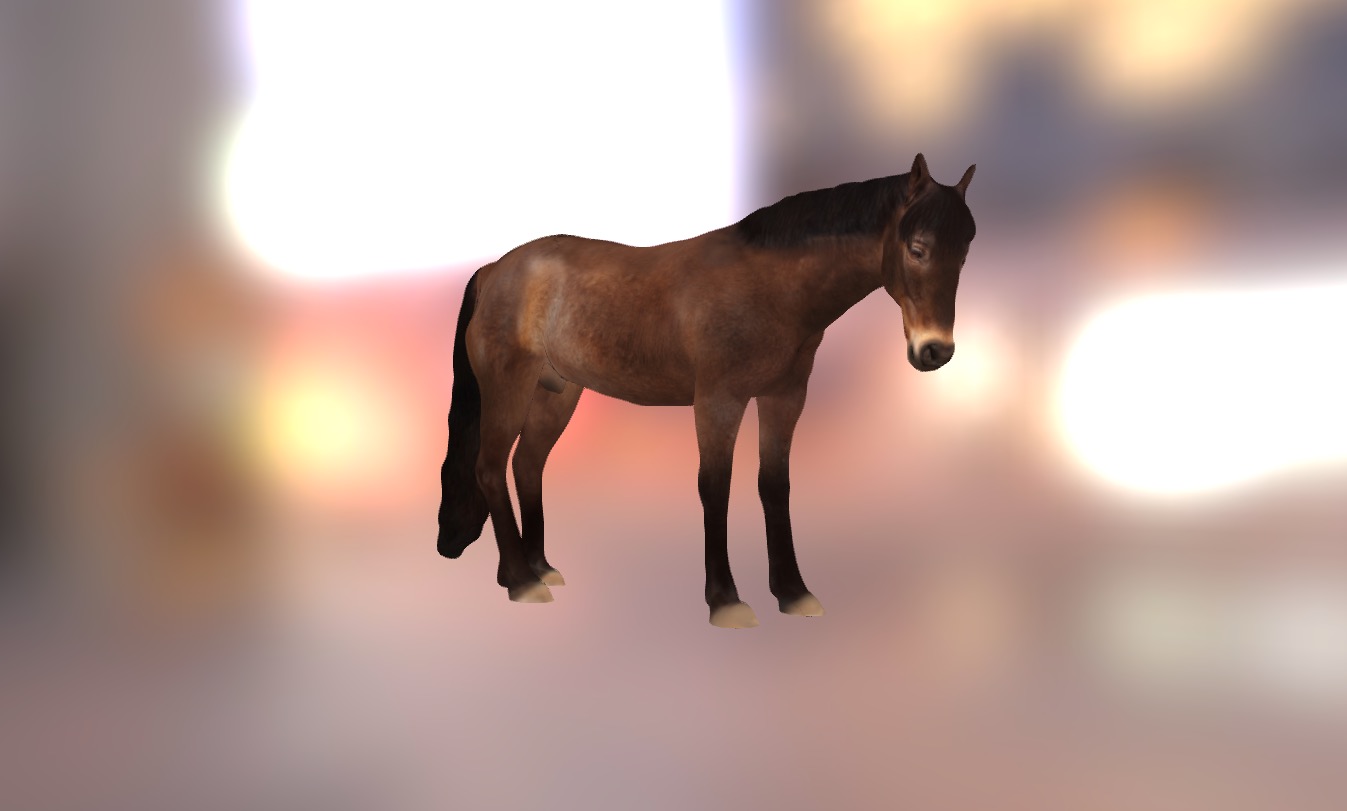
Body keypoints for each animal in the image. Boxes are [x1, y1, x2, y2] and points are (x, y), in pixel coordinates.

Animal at [438, 153, 976, 628]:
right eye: (917, 248)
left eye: (965, 250)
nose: (935, 350)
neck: (770, 288)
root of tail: (495, 270)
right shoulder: (719, 401)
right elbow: (715, 488)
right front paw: (726, 601)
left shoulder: (784, 399)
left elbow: (774, 486)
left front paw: (793, 592)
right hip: (508, 388)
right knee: (490, 468)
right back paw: (520, 581)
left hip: (556, 394)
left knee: (527, 466)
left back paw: (540, 568)